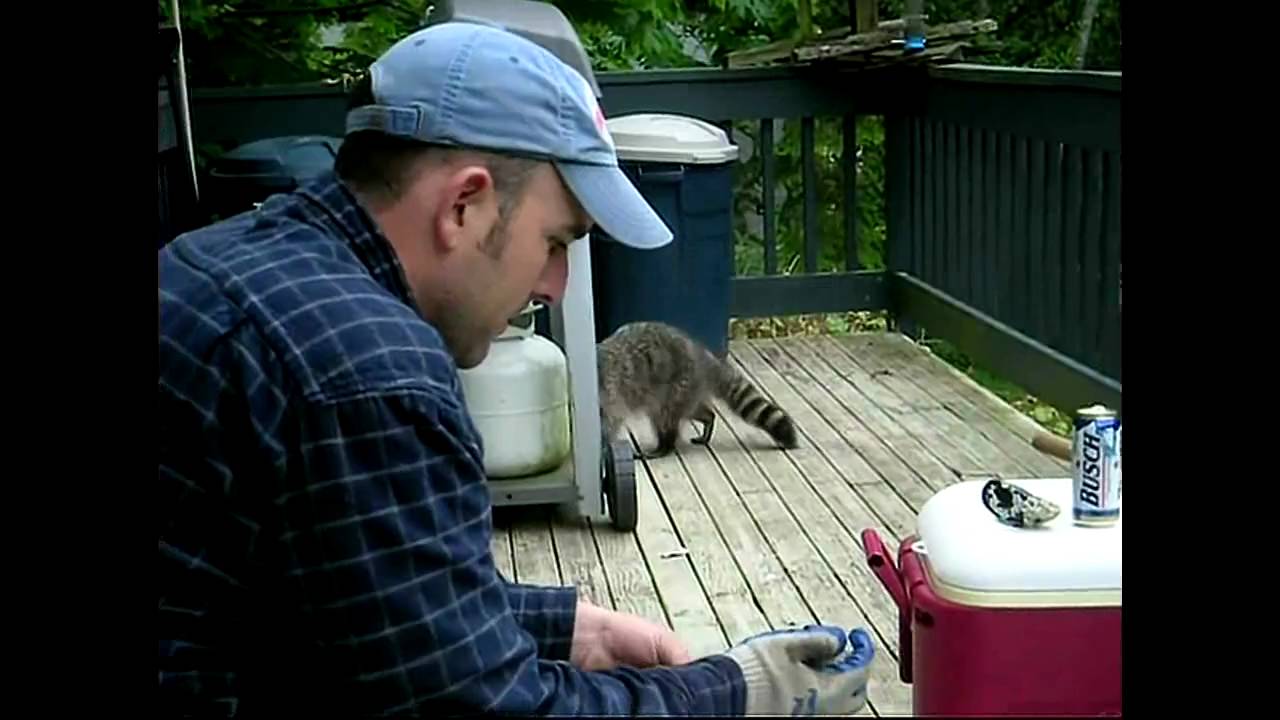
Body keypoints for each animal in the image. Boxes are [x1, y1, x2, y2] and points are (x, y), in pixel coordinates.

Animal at [596, 321, 800, 459]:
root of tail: (701, 354)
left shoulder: (609, 393)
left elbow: (610, 422)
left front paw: (604, 444)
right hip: (683, 391)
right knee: (693, 411)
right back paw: (708, 419)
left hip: (678, 385)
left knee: (665, 417)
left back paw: (665, 445)